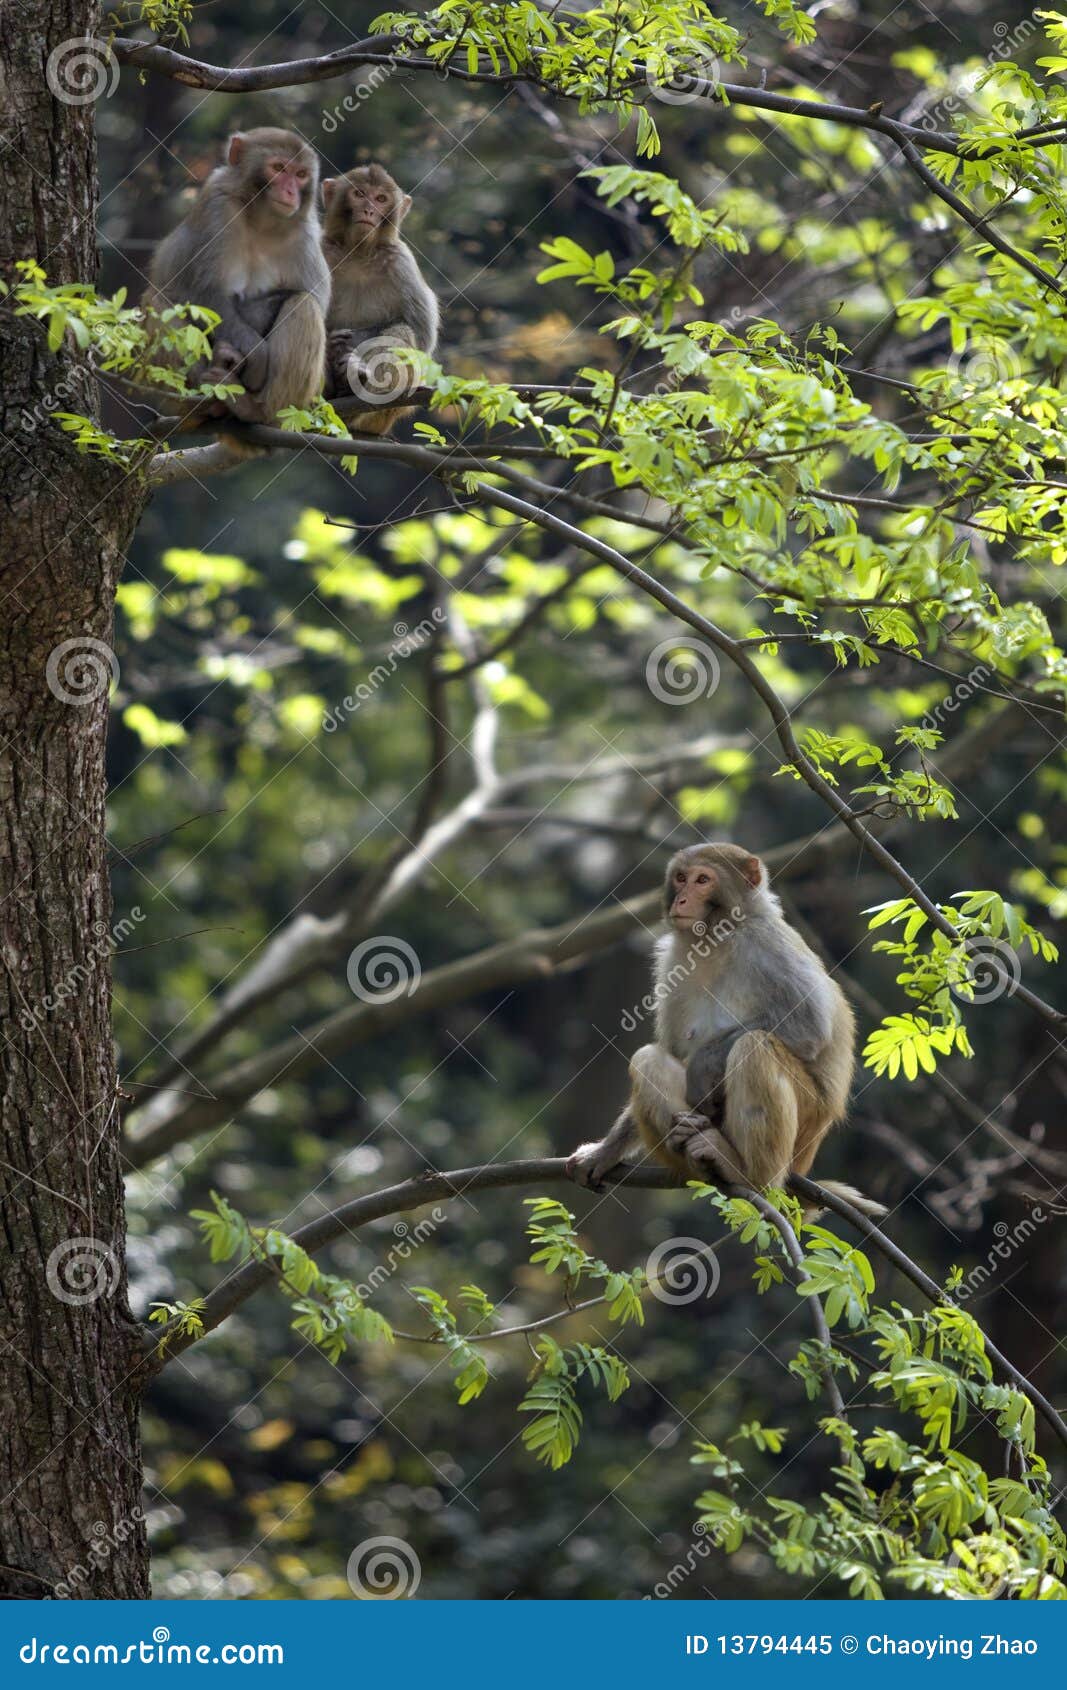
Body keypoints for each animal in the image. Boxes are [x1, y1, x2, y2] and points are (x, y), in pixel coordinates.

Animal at [144, 128, 330, 427]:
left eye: (301, 174)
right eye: (279, 168)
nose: (291, 192)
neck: (262, 221)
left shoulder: (305, 235)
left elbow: (314, 300)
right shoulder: (217, 206)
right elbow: (206, 294)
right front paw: (256, 355)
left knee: (303, 305)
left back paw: (257, 410)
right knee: (157, 301)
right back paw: (204, 401)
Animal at [320, 163, 439, 435]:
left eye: (381, 199)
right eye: (359, 194)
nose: (369, 210)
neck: (357, 252)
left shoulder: (401, 260)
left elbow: (422, 334)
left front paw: (348, 356)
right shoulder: (320, 249)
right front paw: (333, 345)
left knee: (401, 331)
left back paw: (358, 380)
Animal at [567, 842, 886, 1216]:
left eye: (703, 880)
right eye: (681, 878)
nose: (681, 900)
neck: (716, 939)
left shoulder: (766, 943)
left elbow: (809, 1025)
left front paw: (703, 1066)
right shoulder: (671, 960)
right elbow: (671, 1050)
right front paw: (604, 1152)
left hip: (803, 1133)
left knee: (755, 1047)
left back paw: (745, 1173)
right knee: (649, 1059)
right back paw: (691, 1148)